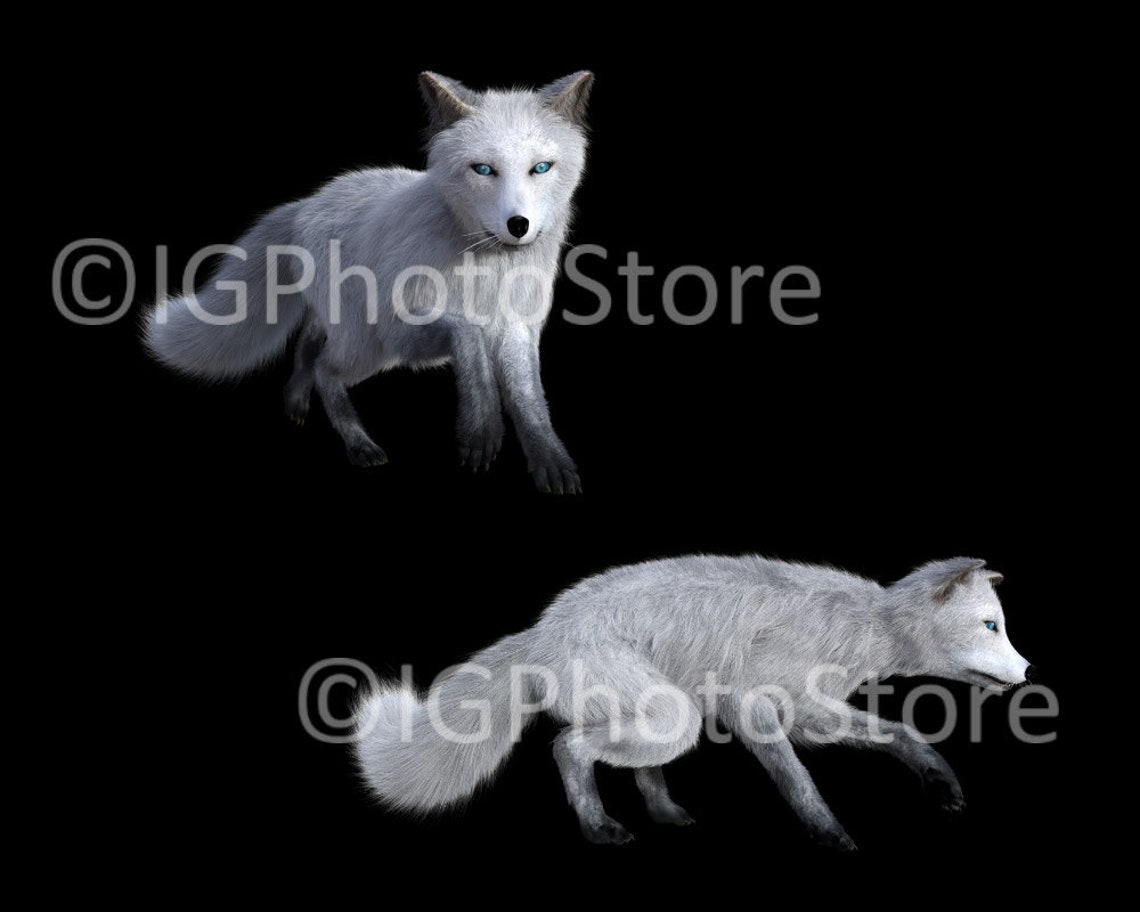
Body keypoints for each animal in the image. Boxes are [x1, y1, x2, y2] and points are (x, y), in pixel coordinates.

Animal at [144, 72, 594, 493]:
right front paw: (480, 427)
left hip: (355, 336)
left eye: (540, 168)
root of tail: (310, 202)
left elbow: (530, 401)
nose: (518, 226)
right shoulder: (403, 330)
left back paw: (295, 397)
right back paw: (358, 443)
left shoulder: (517, 328)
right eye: (484, 169)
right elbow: (466, 335)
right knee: (325, 369)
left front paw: (550, 460)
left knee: (310, 340)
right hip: (370, 347)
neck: (487, 271)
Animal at [353, 555, 1035, 849]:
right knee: (567, 746)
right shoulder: (755, 709)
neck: (866, 622)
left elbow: (902, 734)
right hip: (670, 719)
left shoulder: (811, 713)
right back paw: (599, 828)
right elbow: (799, 781)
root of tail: (542, 631)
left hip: (662, 716)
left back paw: (664, 813)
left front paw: (940, 783)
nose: (1029, 672)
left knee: (636, 767)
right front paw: (830, 833)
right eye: (992, 626)